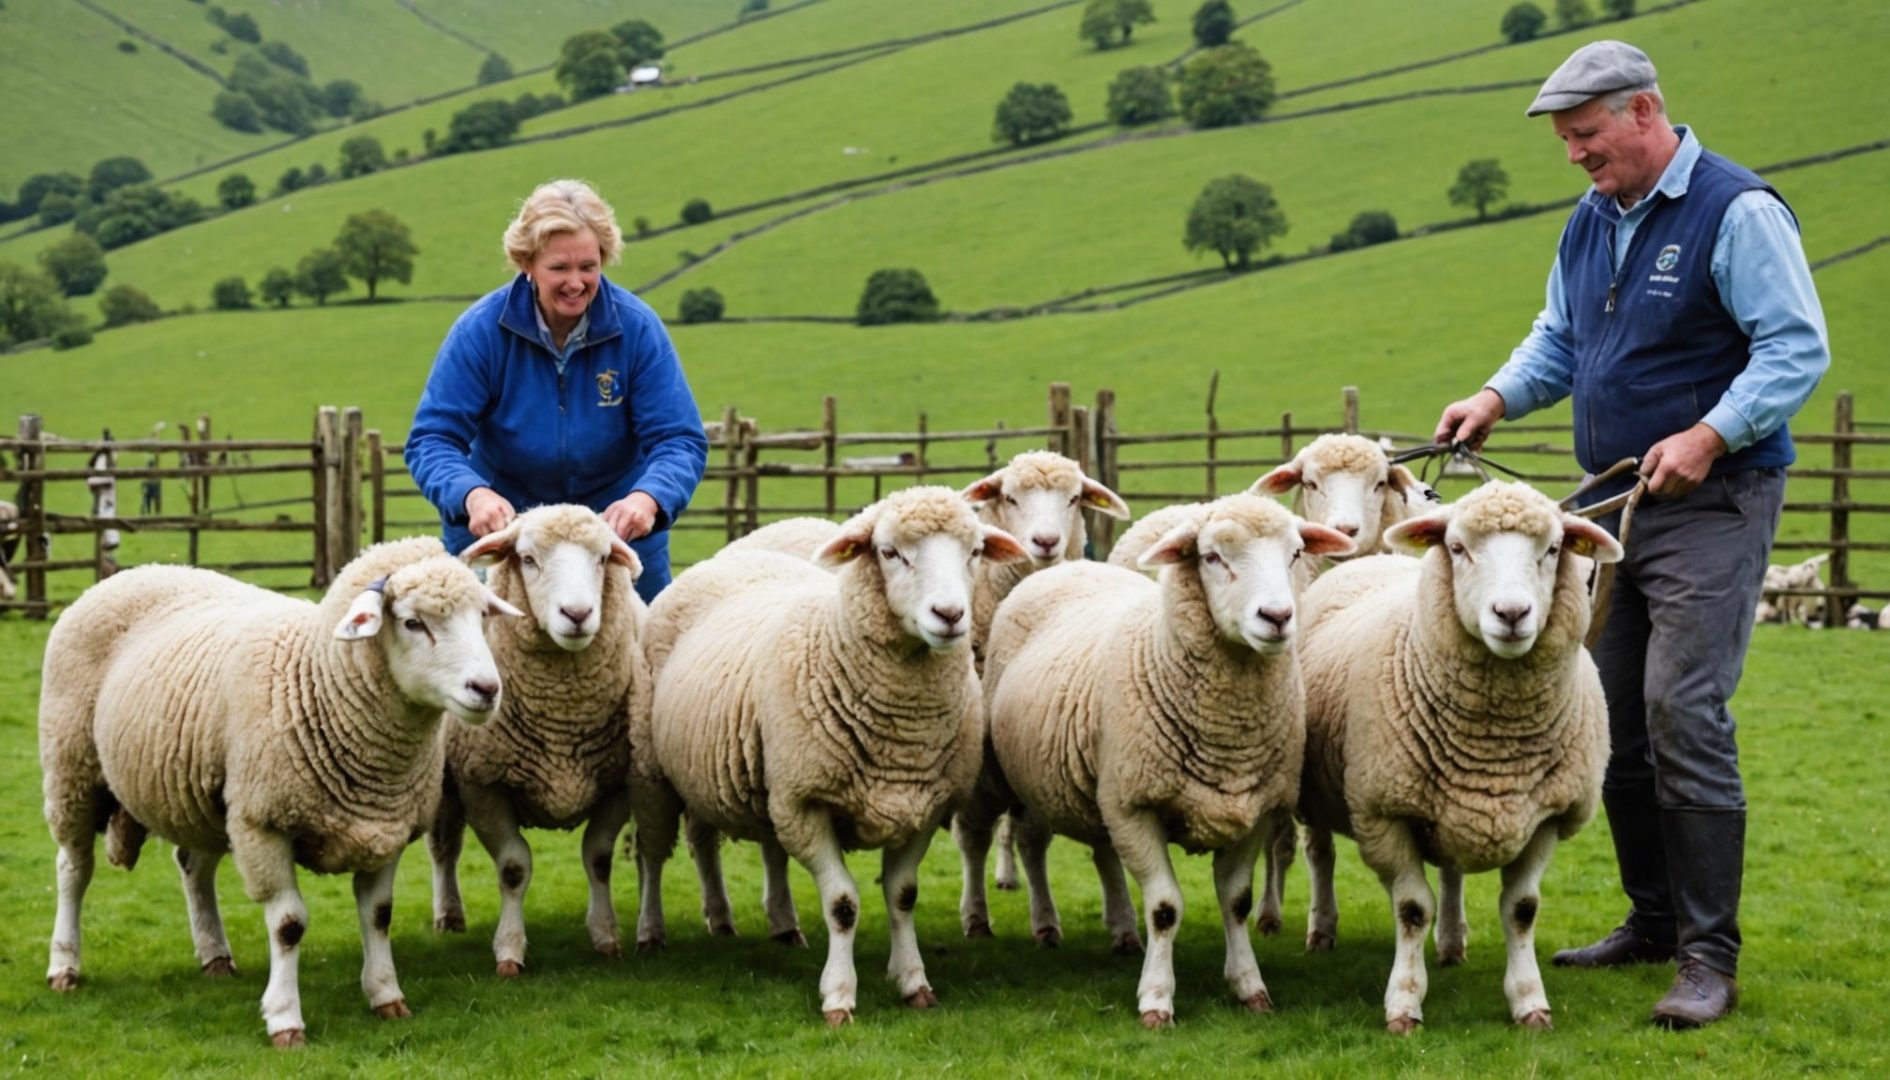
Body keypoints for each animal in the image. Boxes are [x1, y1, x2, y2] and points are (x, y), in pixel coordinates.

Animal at [39, 537, 521, 1047]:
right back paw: (64, 964)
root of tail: (133, 572)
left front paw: (387, 995)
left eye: (482, 616)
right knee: (73, 869)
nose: (487, 689)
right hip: (72, 769)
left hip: (206, 794)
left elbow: (379, 914)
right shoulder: (262, 825)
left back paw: (214, 953)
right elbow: (289, 925)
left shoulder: (385, 827)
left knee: (193, 867)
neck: (318, 682)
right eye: (413, 622)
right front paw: (285, 1018)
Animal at [426, 505, 649, 976]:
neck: (562, 720)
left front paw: (606, 935)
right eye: (528, 559)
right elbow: (513, 867)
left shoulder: (617, 782)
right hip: (442, 785)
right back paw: (448, 914)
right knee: (444, 847)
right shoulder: (482, 784)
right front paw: (509, 950)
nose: (577, 613)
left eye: (603, 558)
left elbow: (599, 859)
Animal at [629, 486, 1028, 1024]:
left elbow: (903, 896)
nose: (949, 615)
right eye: (888, 552)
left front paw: (913, 981)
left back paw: (754, 922)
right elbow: (842, 903)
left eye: (976, 551)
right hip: (655, 770)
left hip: (742, 774)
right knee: (653, 853)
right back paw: (651, 932)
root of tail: (731, 557)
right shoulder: (807, 804)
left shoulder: (923, 806)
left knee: (718, 842)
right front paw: (839, 996)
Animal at [956, 494, 1355, 1027]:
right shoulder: (1137, 805)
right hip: (1003, 774)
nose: (1276, 616)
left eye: (1294, 554)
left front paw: (1249, 986)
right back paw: (990, 919)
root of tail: (1071, 567)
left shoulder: (1251, 811)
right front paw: (1157, 998)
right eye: (1211, 557)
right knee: (985, 838)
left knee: (1080, 848)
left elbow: (1237, 902)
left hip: (1091, 784)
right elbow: (1165, 907)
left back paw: (1115, 930)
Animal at [1293, 481, 1622, 1033]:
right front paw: (1404, 1003)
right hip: (1317, 792)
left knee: (1450, 871)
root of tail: (1379, 559)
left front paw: (1529, 1001)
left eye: (1553, 549)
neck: (1495, 743)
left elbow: (1522, 909)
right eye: (1457, 548)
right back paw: (1321, 929)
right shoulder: (1385, 813)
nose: (1511, 614)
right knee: (1321, 856)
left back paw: (1450, 942)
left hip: (1450, 801)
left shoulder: (1548, 818)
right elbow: (1411, 908)